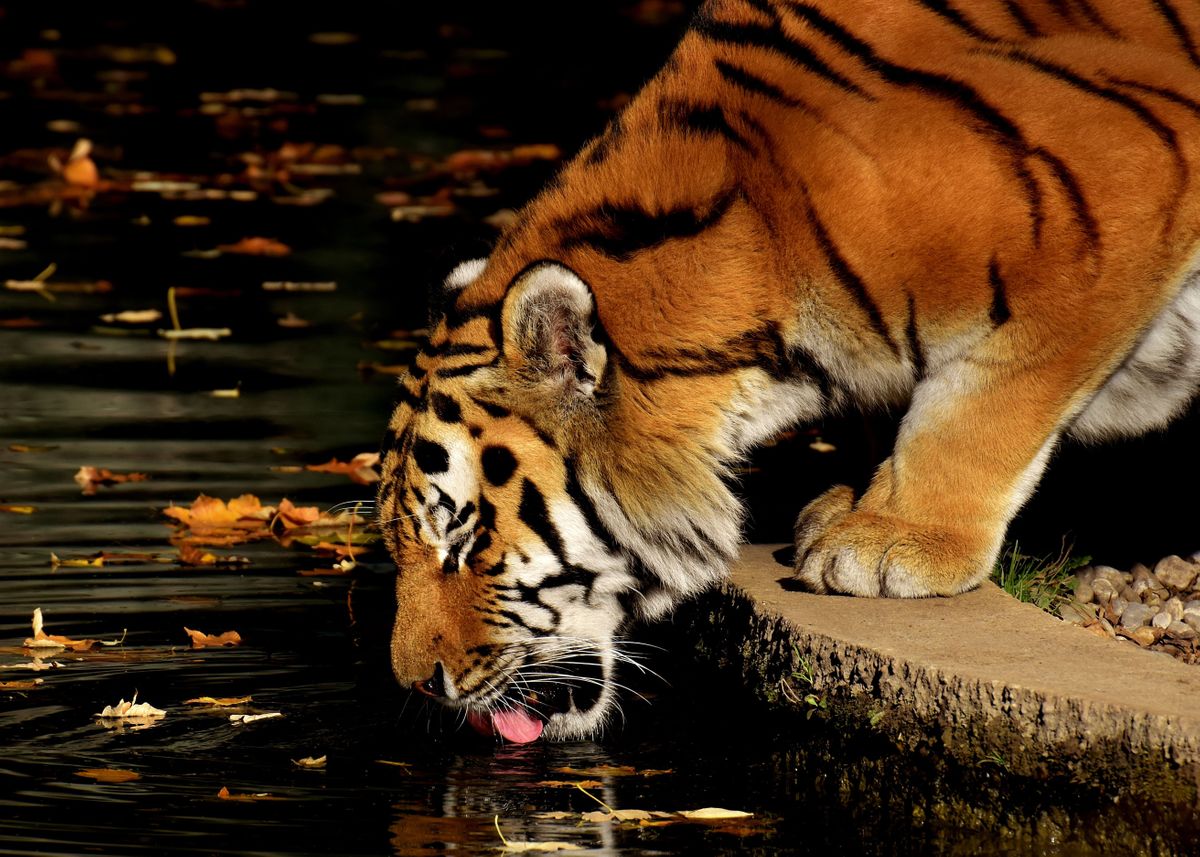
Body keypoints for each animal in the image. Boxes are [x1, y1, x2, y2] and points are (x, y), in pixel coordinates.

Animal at [378, 0, 1200, 742]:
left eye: (461, 541)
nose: (415, 683)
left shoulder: (1117, 198)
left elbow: (986, 402)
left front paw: (896, 539)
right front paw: (853, 502)